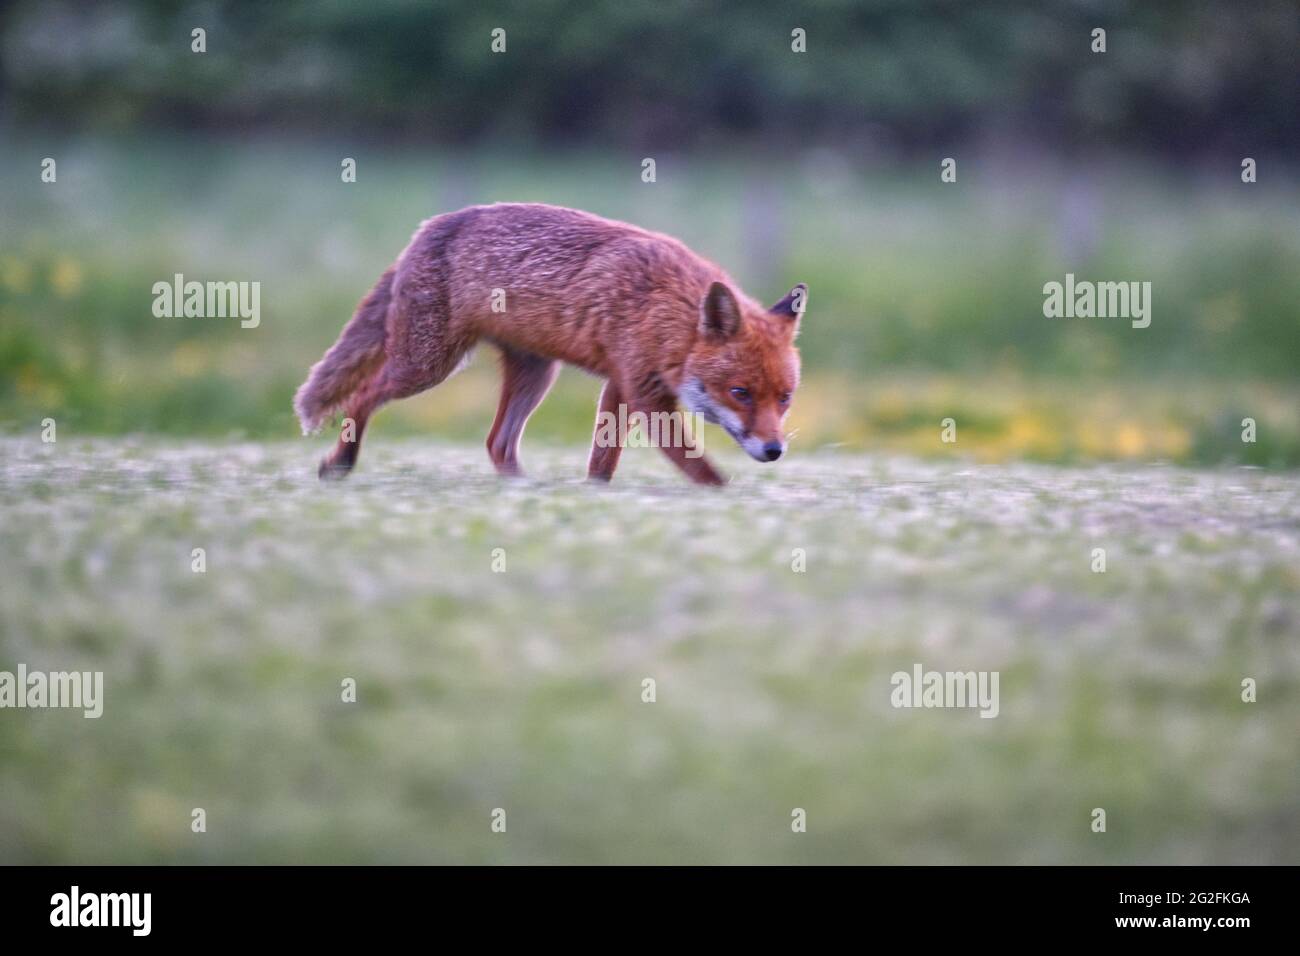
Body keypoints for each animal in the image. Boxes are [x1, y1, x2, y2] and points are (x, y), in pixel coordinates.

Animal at [294, 203, 807, 486]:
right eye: (740, 393)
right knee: (361, 397)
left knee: (497, 444)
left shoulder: (620, 386)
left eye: (784, 398)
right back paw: (340, 463)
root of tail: (430, 226)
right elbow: (704, 473)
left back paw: (523, 492)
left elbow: (602, 462)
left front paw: (590, 498)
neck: (664, 311)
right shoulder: (644, 394)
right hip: (425, 366)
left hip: (535, 375)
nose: (774, 451)